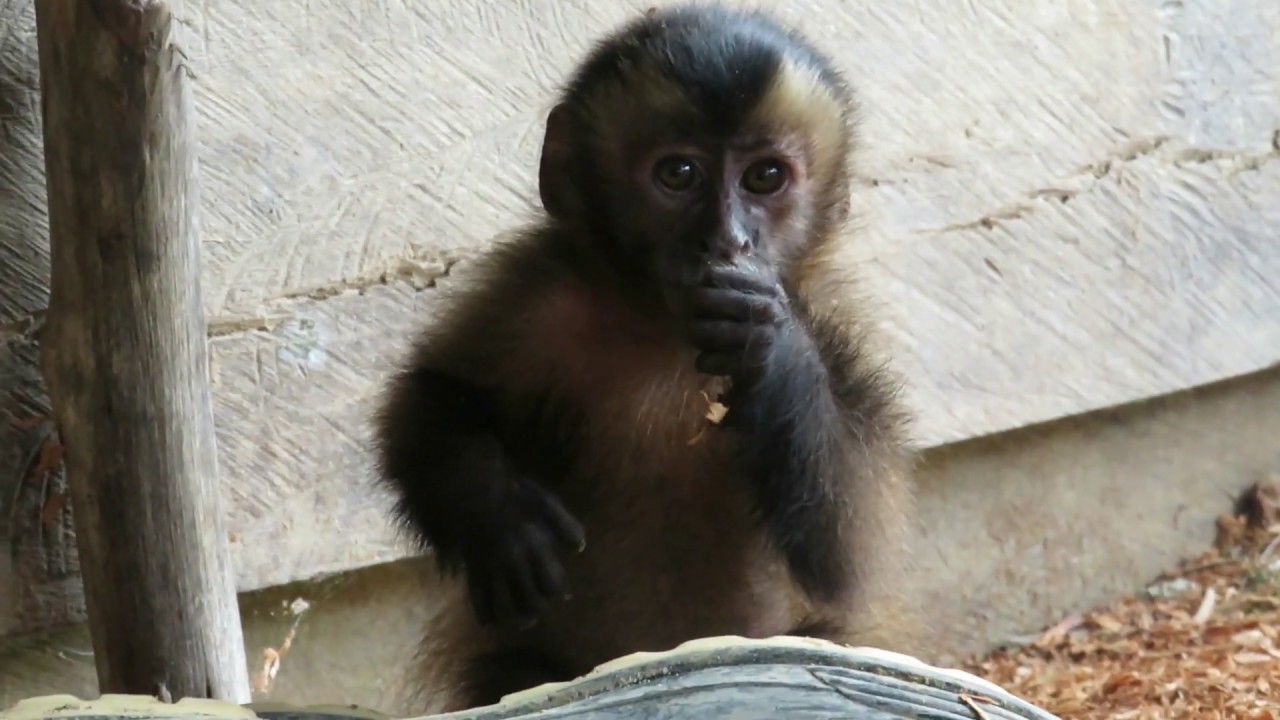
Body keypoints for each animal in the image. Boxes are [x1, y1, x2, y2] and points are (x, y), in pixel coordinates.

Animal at [374, 3, 919, 713]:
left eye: (765, 177)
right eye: (678, 174)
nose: (727, 240)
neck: (664, 331)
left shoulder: (830, 312)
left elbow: (848, 558)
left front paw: (772, 350)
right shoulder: (540, 293)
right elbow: (434, 392)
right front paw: (495, 511)